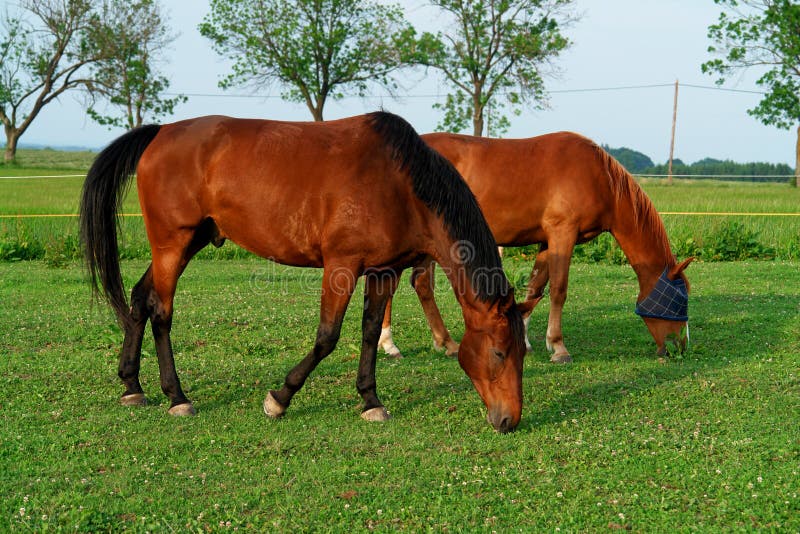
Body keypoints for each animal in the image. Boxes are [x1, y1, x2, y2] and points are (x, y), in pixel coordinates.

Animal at [80, 112, 532, 433]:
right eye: (499, 352)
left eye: (522, 353)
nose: (509, 420)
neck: (399, 183)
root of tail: (161, 133)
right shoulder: (341, 266)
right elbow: (327, 337)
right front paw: (279, 398)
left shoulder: (384, 271)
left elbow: (370, 332)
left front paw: (371, 400)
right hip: (172, 244)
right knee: (161, 311)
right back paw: (176, 396)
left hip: (188, 242)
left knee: (140, 299)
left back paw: (132, 386)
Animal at [378, 131, 692, 363]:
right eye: (680, 300)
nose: (681, 346)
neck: (598, 177)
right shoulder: (562, 233)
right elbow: (558, 290)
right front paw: (559, 347)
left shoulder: (546, 240)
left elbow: (536, 287)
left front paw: (526, 342)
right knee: (416, 284)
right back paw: (422, 343)